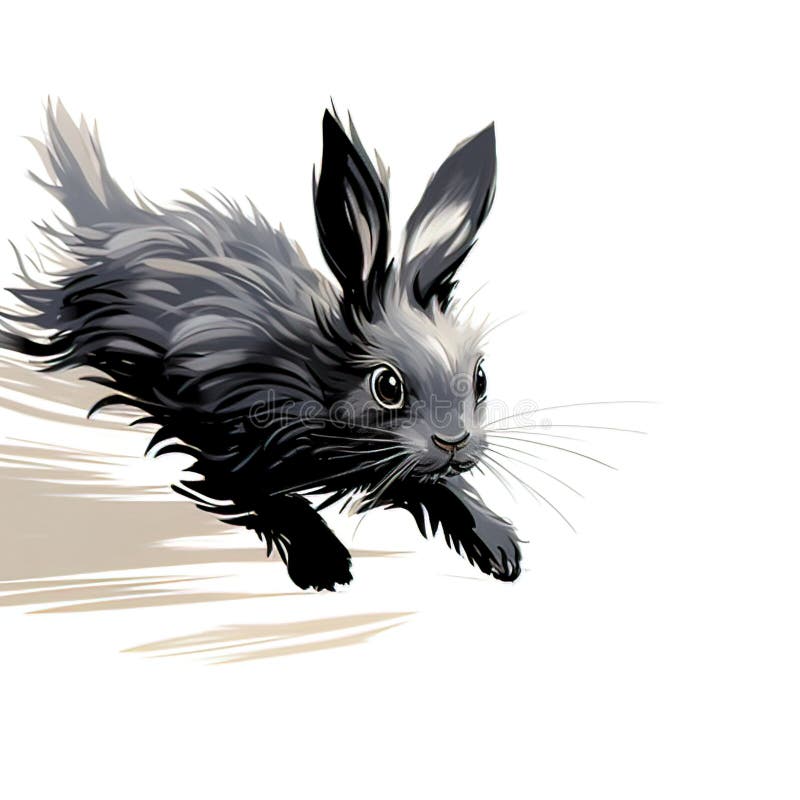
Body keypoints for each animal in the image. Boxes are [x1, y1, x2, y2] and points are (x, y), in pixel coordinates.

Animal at [0, 101, 522, 591]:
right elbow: (276, 499)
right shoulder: (227, 448)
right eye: (387, 386)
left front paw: (498, 542)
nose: (455, 441)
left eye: (480, 378)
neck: (310, 378)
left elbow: (442, 486)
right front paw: (324, 561)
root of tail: (108, 222)